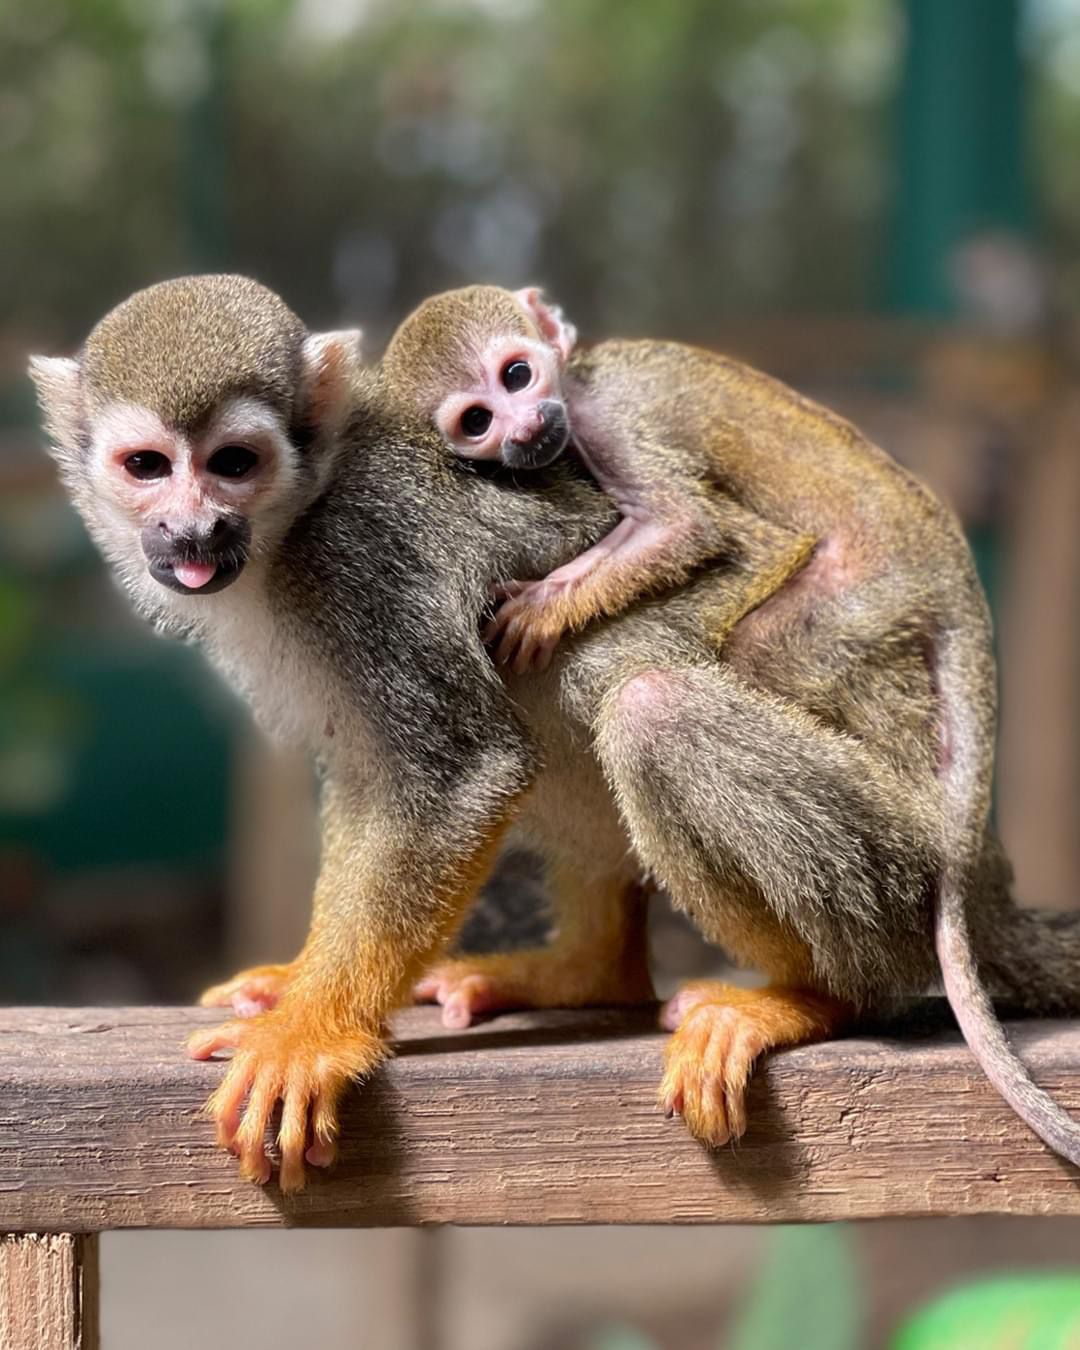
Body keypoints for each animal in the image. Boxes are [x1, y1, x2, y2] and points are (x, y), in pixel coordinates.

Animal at [30, 275, 1080, 1192]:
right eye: (148, 468)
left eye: (233, 464)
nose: (193, 530)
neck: (294, 526)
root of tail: (982, 879)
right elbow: (378, 777)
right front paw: (295, 985)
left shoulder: (362, 560)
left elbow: (458, 773)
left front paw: (307, 1034)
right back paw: (590, 971)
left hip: (901, 839)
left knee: (653, 709)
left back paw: (817, 998)